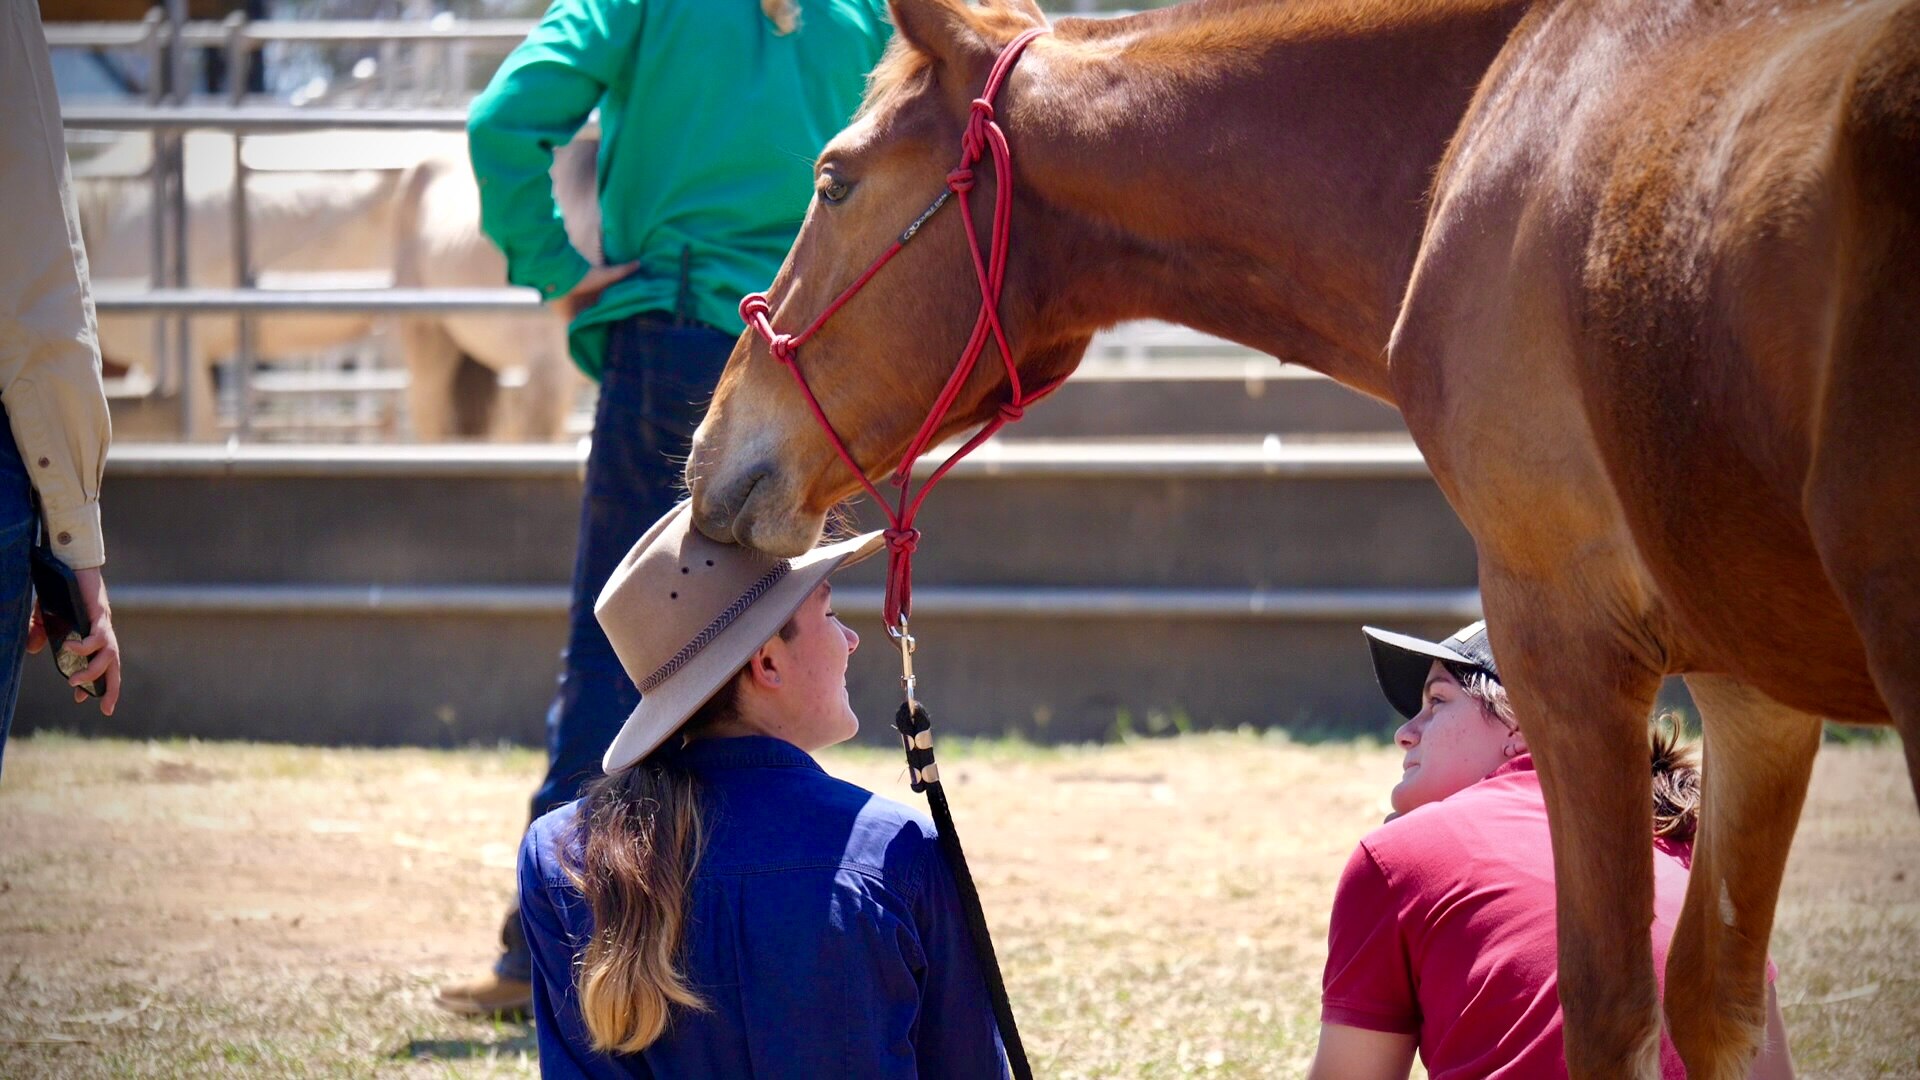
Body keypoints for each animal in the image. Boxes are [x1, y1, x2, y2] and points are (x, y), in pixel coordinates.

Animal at [680, 1, 1920, 1078]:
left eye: (833, 179)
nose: (707, 451)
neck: (1476, 124)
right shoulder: (1750, 691)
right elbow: (1713, 1002)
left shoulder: (1562, 634)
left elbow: (1610, 1005)